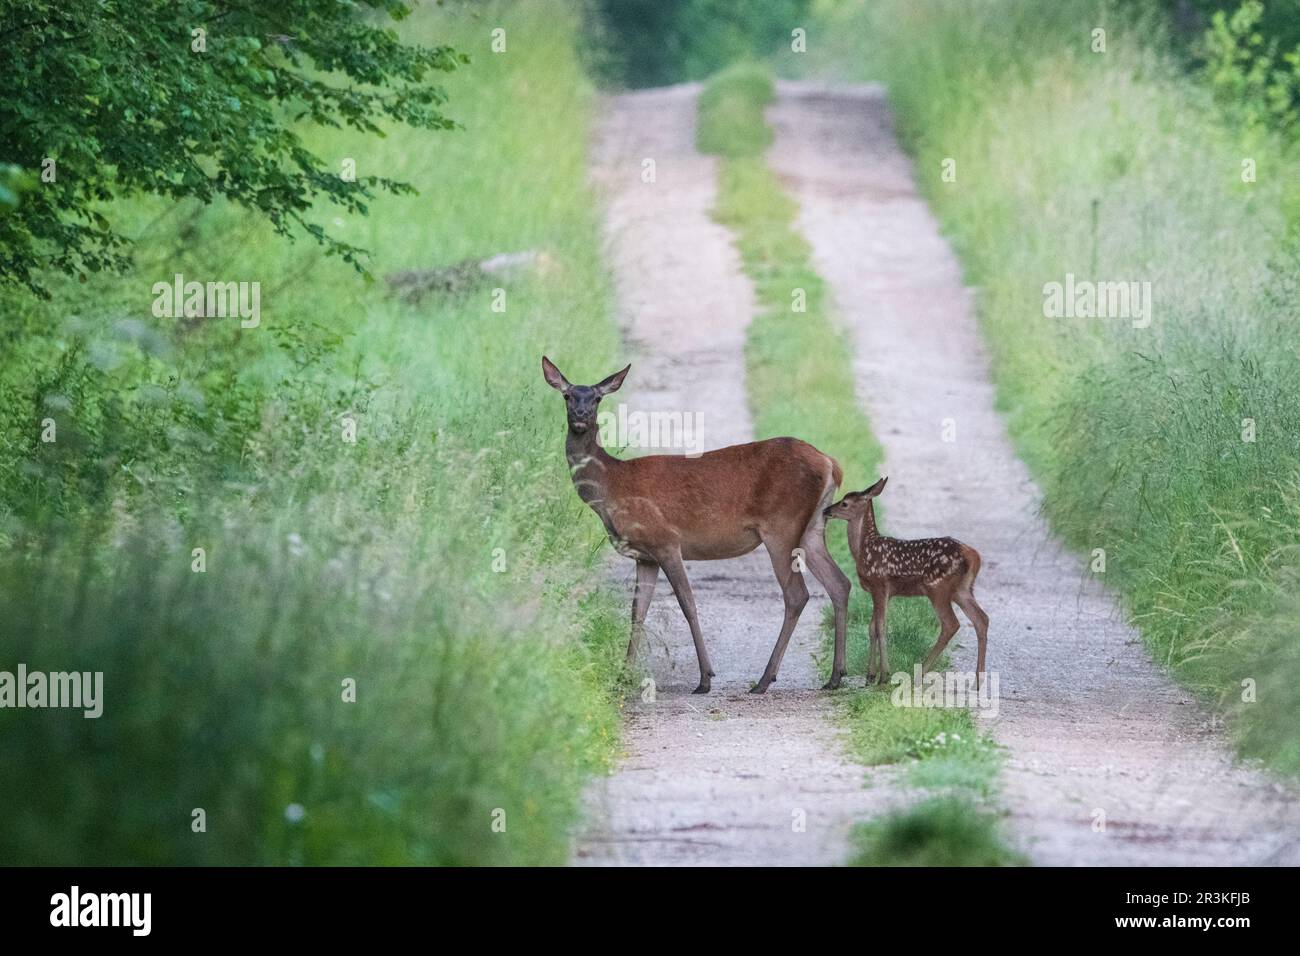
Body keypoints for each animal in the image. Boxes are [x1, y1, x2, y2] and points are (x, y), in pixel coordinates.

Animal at [542, 356, 852, 694]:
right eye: (568, 395)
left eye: (597, 398)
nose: (580, 416)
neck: (611, 487)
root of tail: (831, 463)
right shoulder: (645, 557)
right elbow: (637, 612)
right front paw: (623, 676)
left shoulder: (666, 541)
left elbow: (687, 603)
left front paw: (705, 678)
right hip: (812, 528)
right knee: (839, 583)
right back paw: (834, 676)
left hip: (781, 526)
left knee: (797, 594)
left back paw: (764, 679)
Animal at [823, 476, 990, 689]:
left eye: (845, 503)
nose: (826, 510)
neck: (864, 549)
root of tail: (973, 555)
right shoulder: (883, 593)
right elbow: (872, 628)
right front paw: (870, 676)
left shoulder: (880, 584)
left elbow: (880, 626)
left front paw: (884, 675)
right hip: (962, 589)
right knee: (981, 619)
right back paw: (978, 681)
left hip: (938, 588)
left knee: (951, 624)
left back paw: (919, 674)